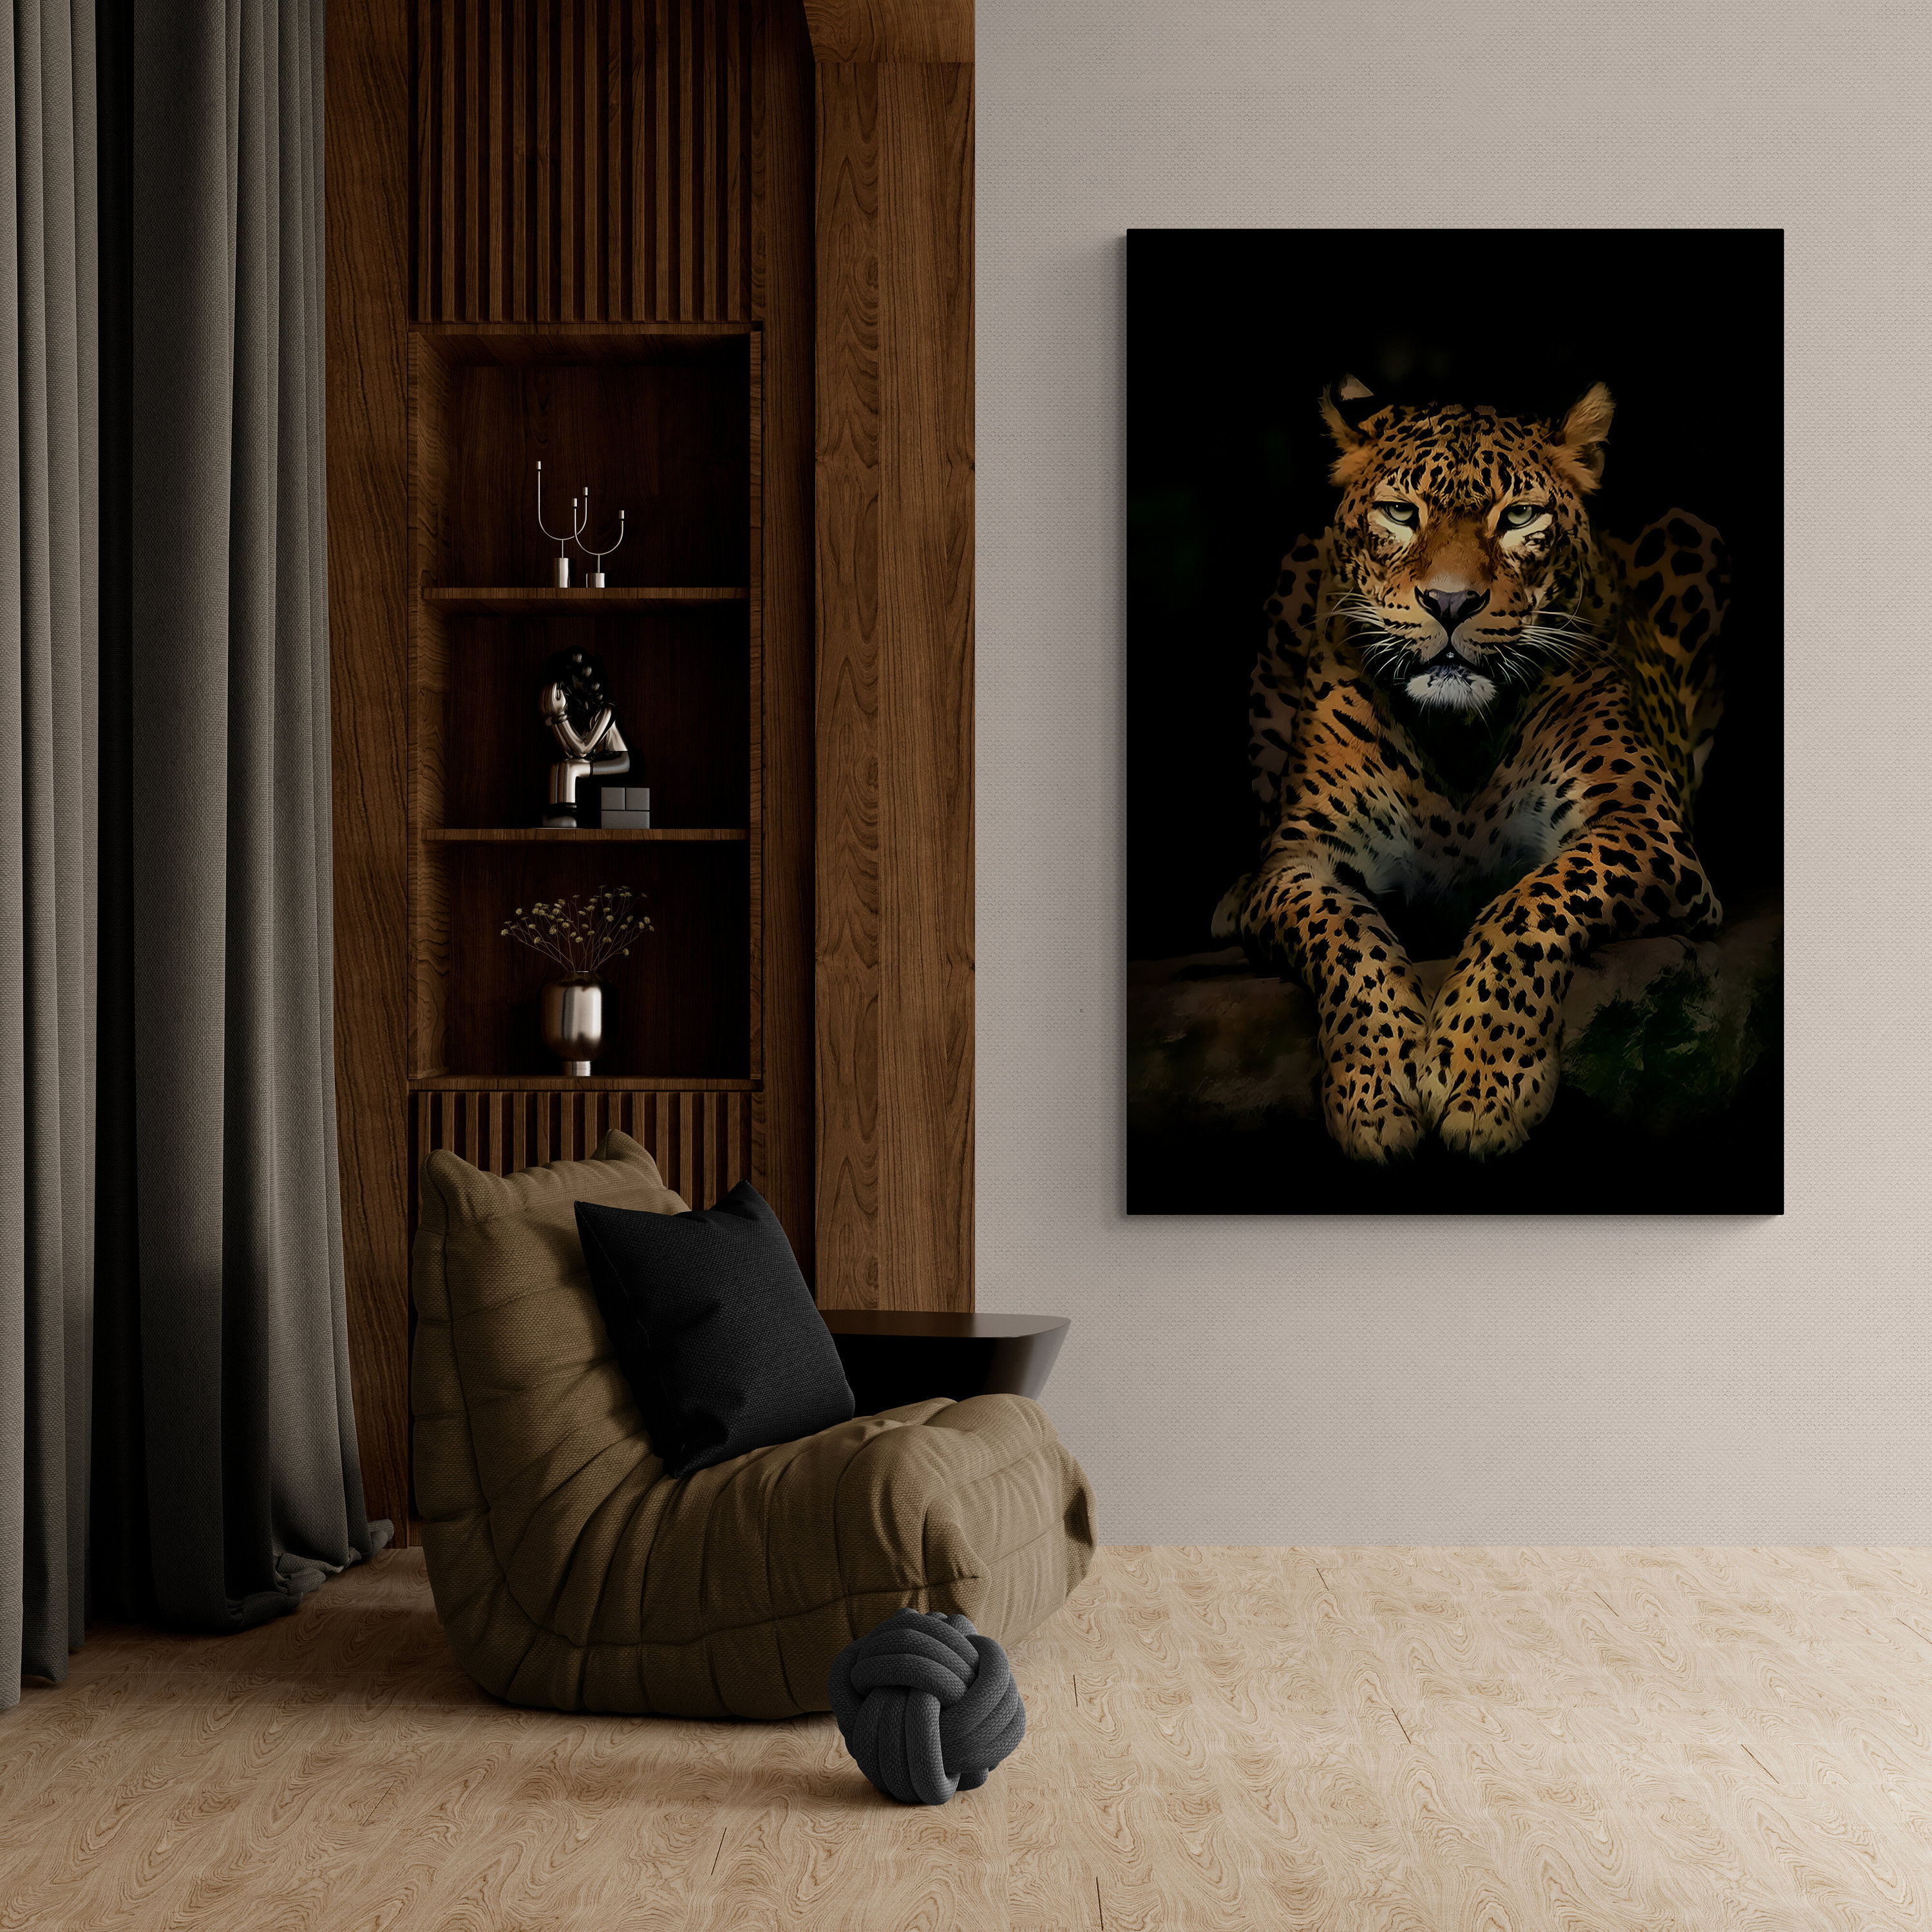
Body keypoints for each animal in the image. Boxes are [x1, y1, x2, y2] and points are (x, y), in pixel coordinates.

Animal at [1212, 377, 1730, 1162]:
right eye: (1401, 513)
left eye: (1519, 517)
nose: (1450, 603)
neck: (1456, 737)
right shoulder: (1301, 860)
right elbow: (1345, 937)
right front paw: (1375, 1090)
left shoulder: (1643, 825)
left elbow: (1530, 903)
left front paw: (1483, 1081)